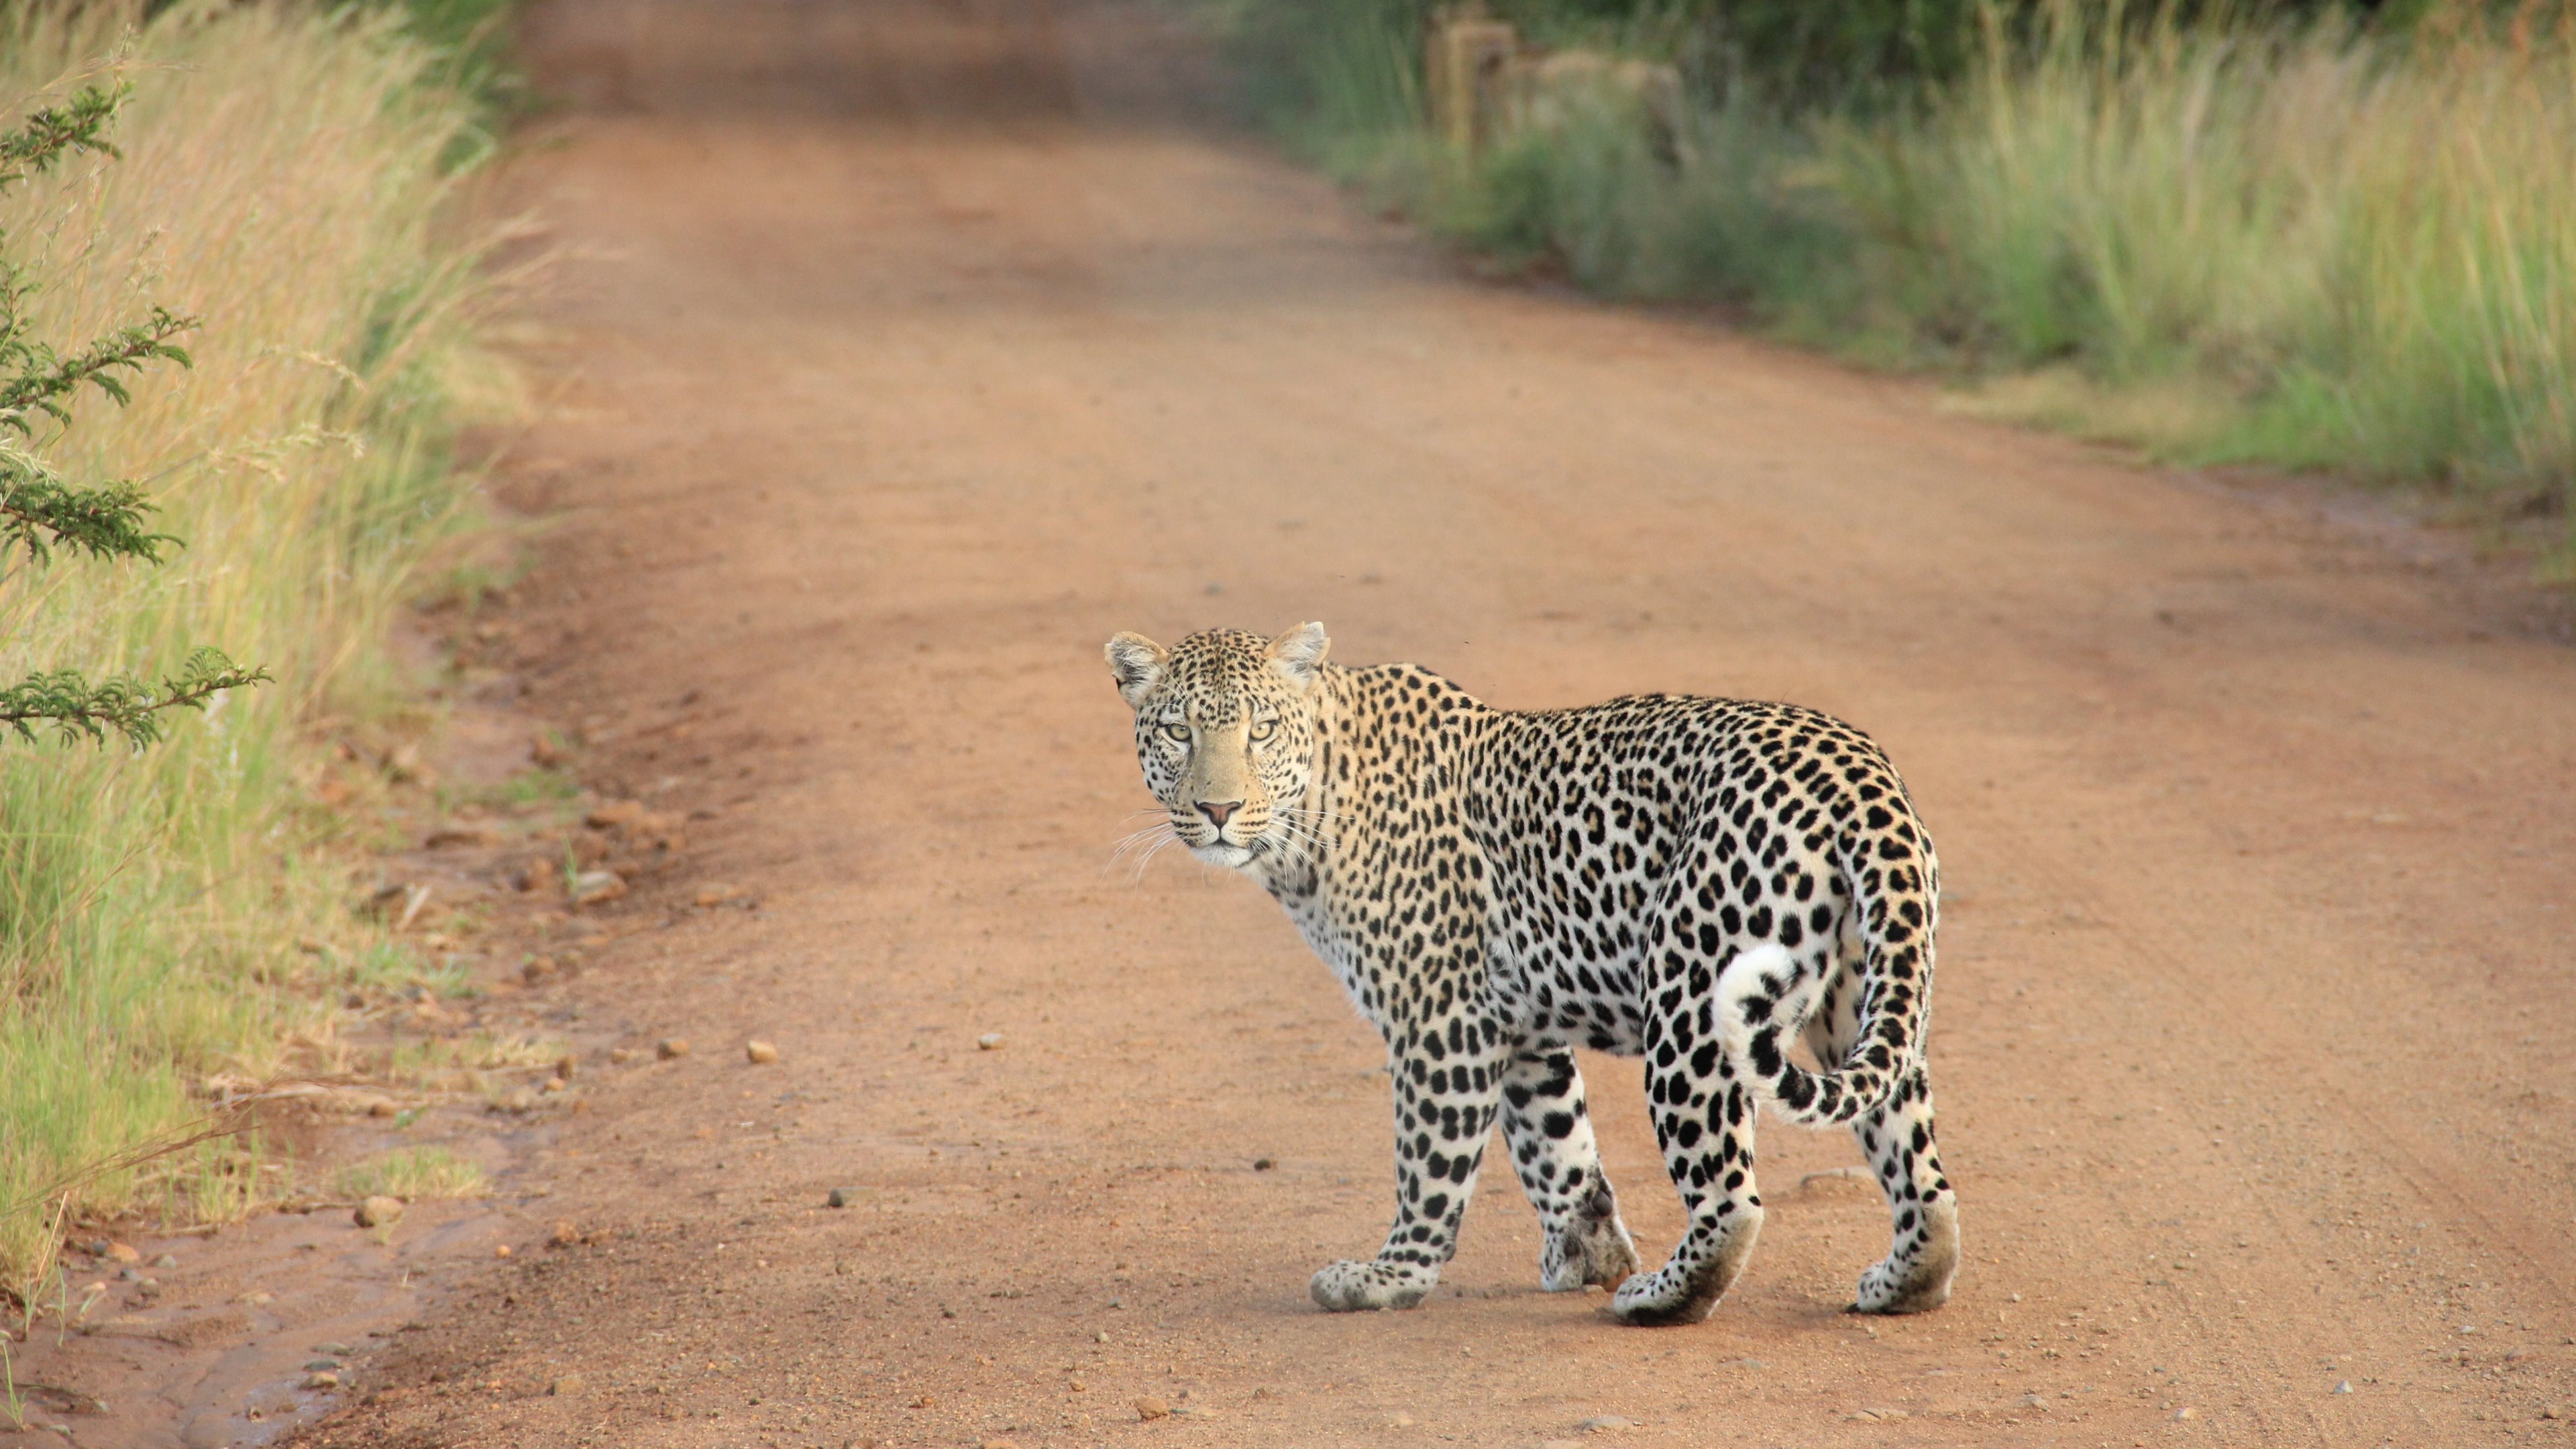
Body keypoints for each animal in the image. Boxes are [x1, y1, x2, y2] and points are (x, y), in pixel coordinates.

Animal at [1103, 622, 1959, 1325]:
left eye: (1262, 730)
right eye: (1178, 732)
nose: (1218, 811)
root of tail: (1859, 774)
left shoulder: (1441, 1020)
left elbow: (1430, 1164)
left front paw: (1390, 1278)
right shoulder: (1516, 1025)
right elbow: (1559, 1148)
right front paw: (1587, 1252)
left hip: (1691, 1003)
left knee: (1731, 1199)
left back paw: (1658, 1298)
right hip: (1863, 999)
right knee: (1920, 1169)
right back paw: (1902, 1283)